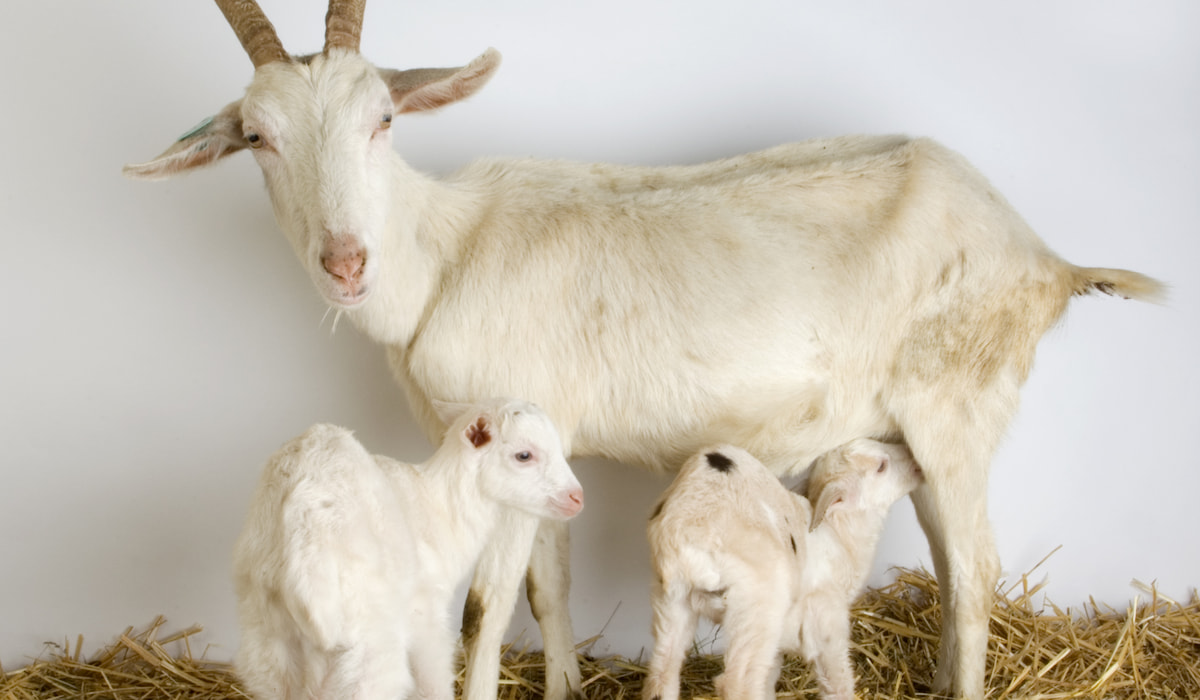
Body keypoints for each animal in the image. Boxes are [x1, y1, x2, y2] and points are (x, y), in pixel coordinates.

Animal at [231, 398, 584, 700]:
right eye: (524, 455)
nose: (577, 497)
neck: (441, 506)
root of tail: (300, 520)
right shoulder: (426, 611)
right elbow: (433, 681)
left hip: (266, 633)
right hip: (369, 634)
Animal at [643, 441, 922, 700]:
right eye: (881, 466)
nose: (917, 462)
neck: (838, 534)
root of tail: (684, 532)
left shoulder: (779, 642)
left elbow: (770, 676)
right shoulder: (827, 621)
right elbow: (838, 682)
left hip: (671, 601)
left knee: (661, 675)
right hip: (759, 603)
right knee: (736, 683)